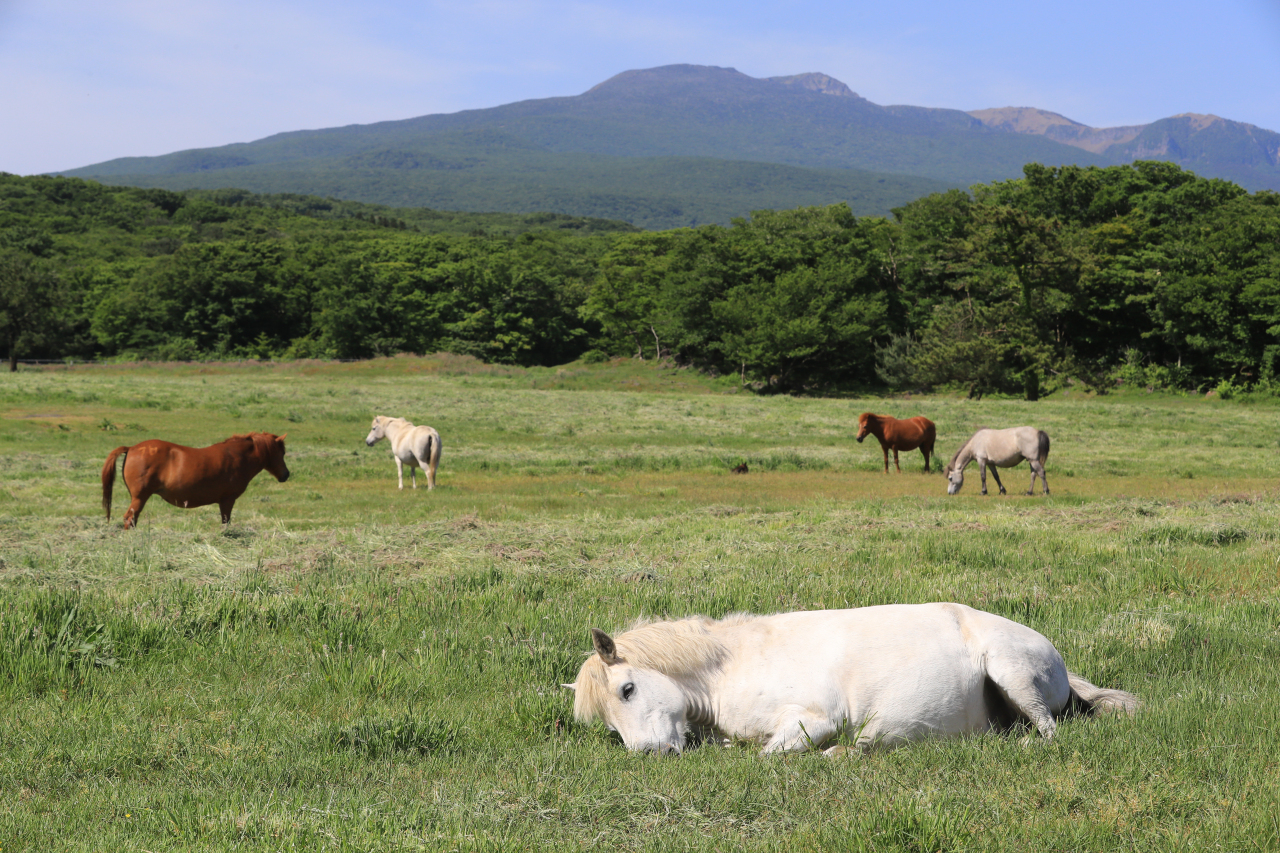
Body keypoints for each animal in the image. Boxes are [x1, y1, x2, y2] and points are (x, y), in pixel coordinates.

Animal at [101, 433, 289, 529]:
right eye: (282, 452)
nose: (286, 475)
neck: (237, 456)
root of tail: (131, 448)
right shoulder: (227, 500)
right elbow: (226, 522)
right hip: (140, 497)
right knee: (129, 518)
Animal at [568, 603, 1138, 755]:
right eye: (610, 724)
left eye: (627, 689)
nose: (649, 755)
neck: (735, 666)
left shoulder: (813, 722)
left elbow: (772, 754)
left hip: (1011, 672)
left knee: (1047, 730)